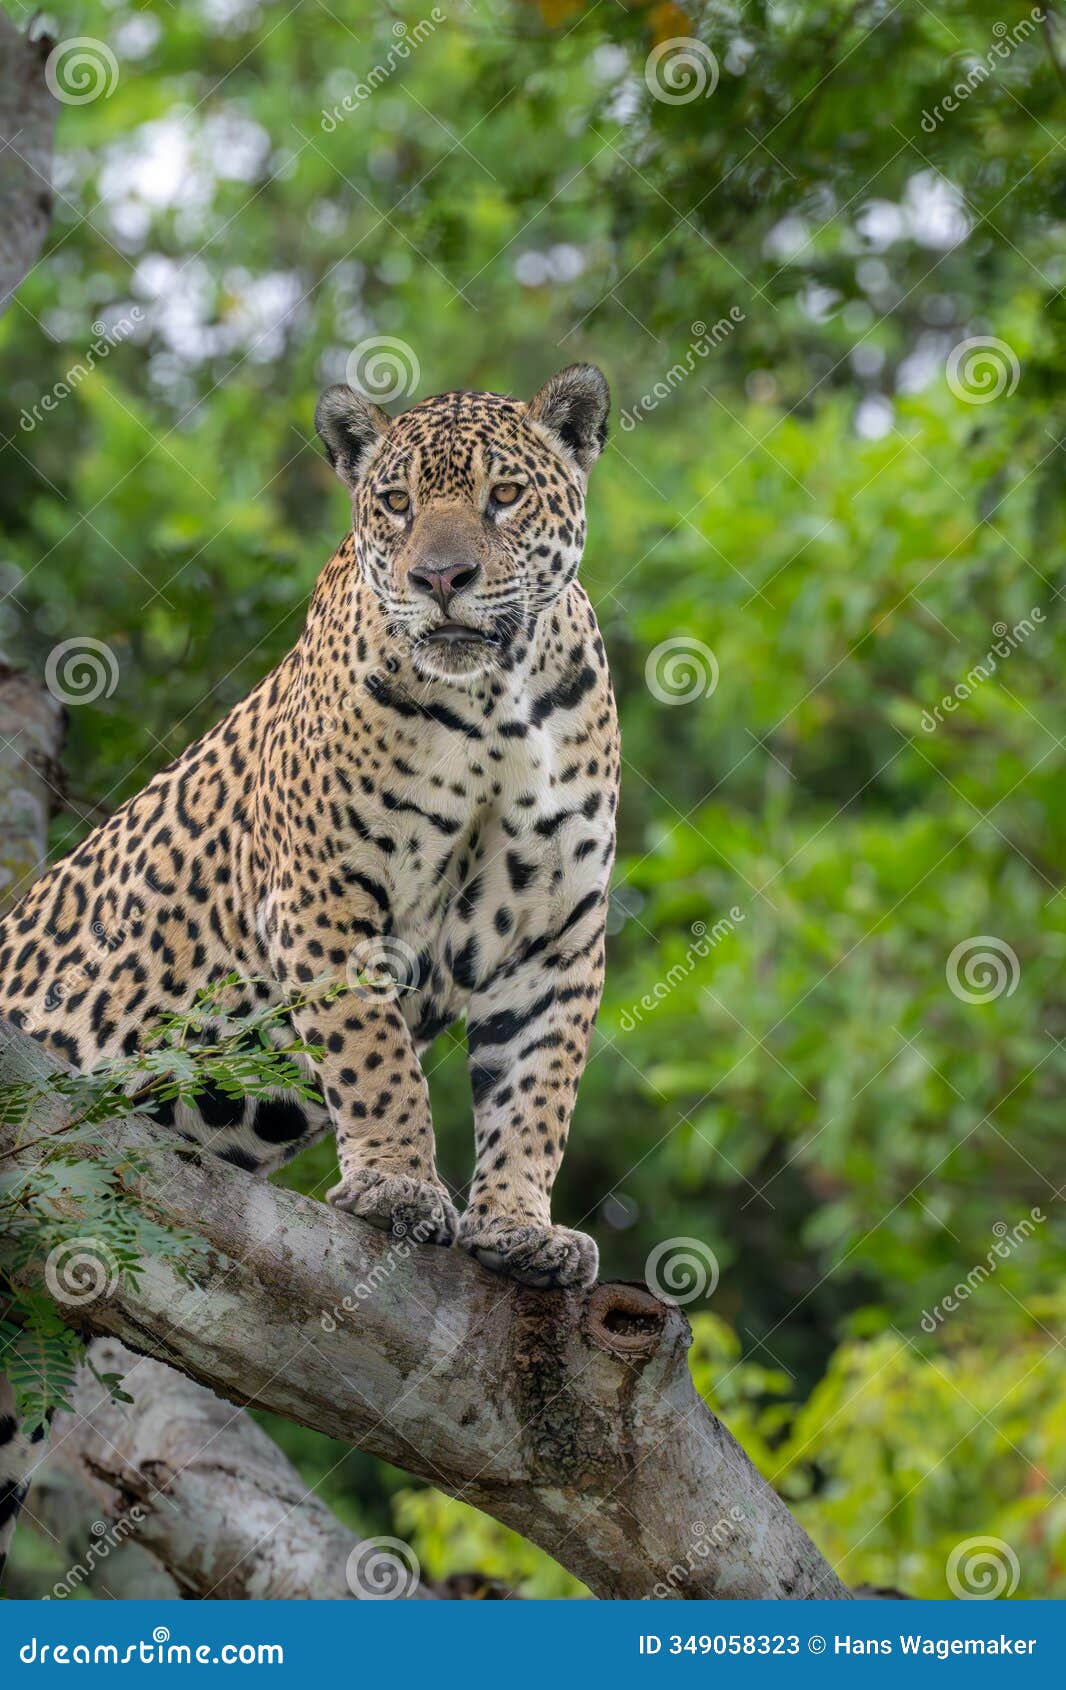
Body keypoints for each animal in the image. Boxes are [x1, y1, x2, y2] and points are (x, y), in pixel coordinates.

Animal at [0, 364, 618, 1578]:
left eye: (503, 496)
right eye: (395, 505)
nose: (441, 579)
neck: (495, 705)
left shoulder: (556, 939)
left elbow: (537, 1096)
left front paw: (521, 1227)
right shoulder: (327, 898)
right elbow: (377, 1061)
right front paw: (398, 1187)